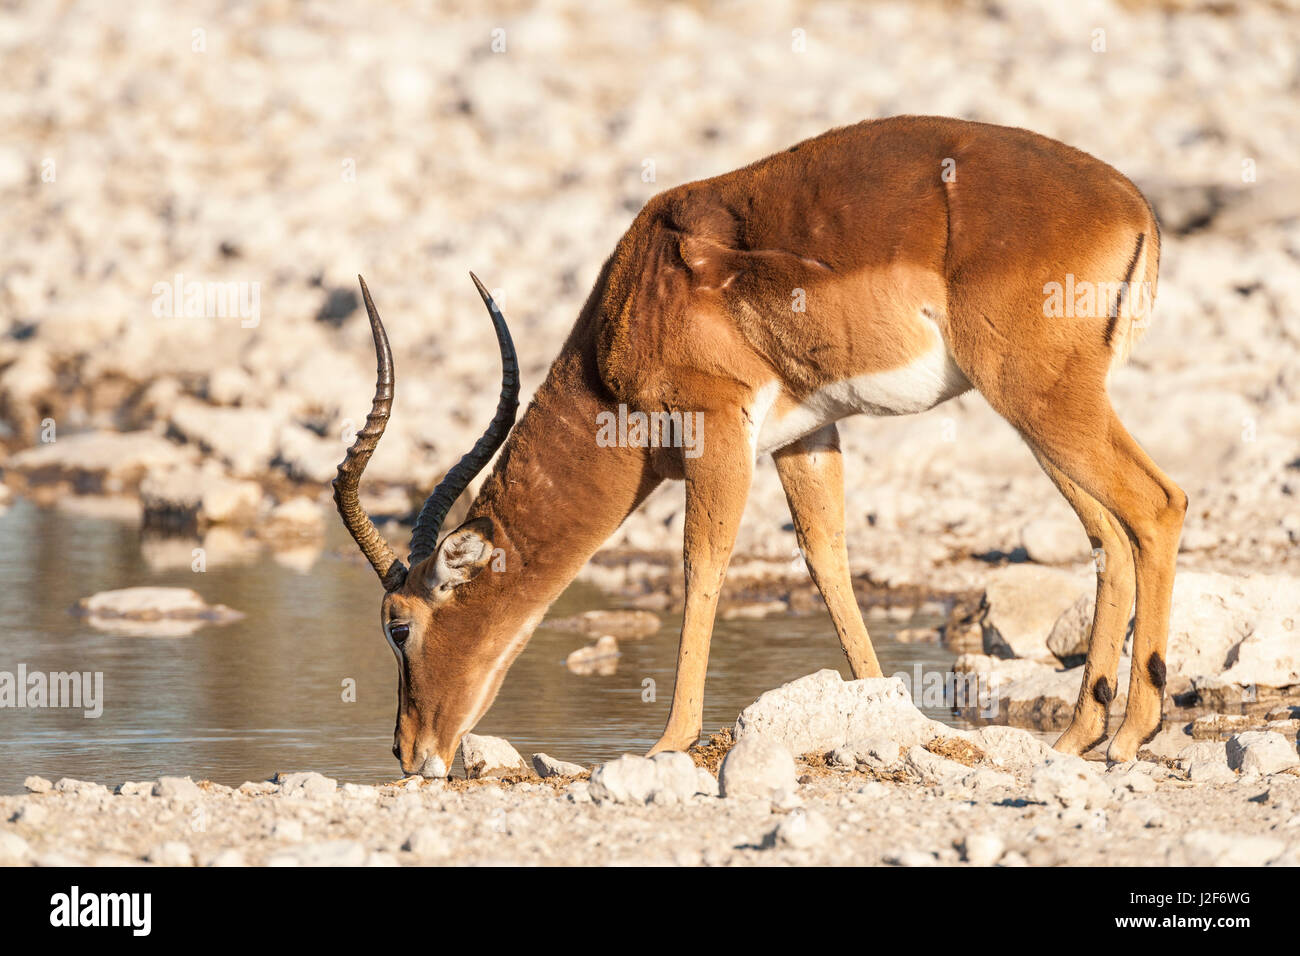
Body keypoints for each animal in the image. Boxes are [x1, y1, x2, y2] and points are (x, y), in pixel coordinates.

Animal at [335, 115, 1184, 778]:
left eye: (399, 624)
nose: (408, 753)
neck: (632, 308)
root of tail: (1133, 205)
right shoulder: (805, 435)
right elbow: (826, 559)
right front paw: (886, 716)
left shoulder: (717, 432)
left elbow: (701, 564)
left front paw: (669, 741)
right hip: (1038, 415)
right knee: (1110, 533)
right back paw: (1079, 736)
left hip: (1037, 399)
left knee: (1158, 505)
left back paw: (1132, 736)